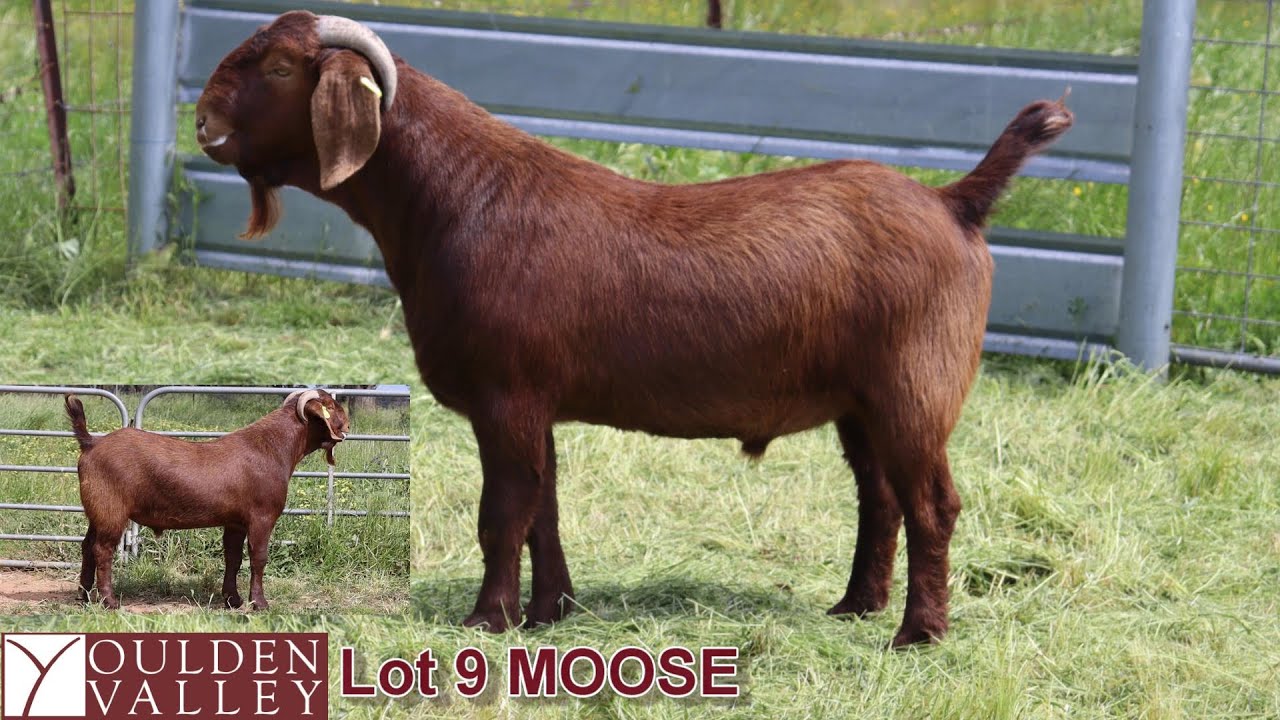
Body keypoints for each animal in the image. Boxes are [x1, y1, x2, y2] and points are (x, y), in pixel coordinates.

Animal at [65, 389, 349, 610]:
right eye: (331, 405)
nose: (347, 425)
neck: (271, 447)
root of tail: (91, 443)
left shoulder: (235, 522)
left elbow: (233, 558)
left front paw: (233, 600)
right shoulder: (262, 516)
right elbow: (258, 557)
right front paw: (259, 603)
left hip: (97, 510)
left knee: (87, 545)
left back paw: (84, 596)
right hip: (110, 509)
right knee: (103, 550)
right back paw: (109, 601)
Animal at [195, 11, 1073, 646]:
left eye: (281, 68)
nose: (202, 124)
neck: (460, 199)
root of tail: (955, 202)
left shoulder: (506, 393)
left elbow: (504, 511)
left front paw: (486, 620)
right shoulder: (535, 401)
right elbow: (542, 507)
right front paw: (549, 610)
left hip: (914, 385)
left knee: (931, 502)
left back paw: (917, 633)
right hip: (860, 401)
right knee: (880, 498)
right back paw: (856, 606)